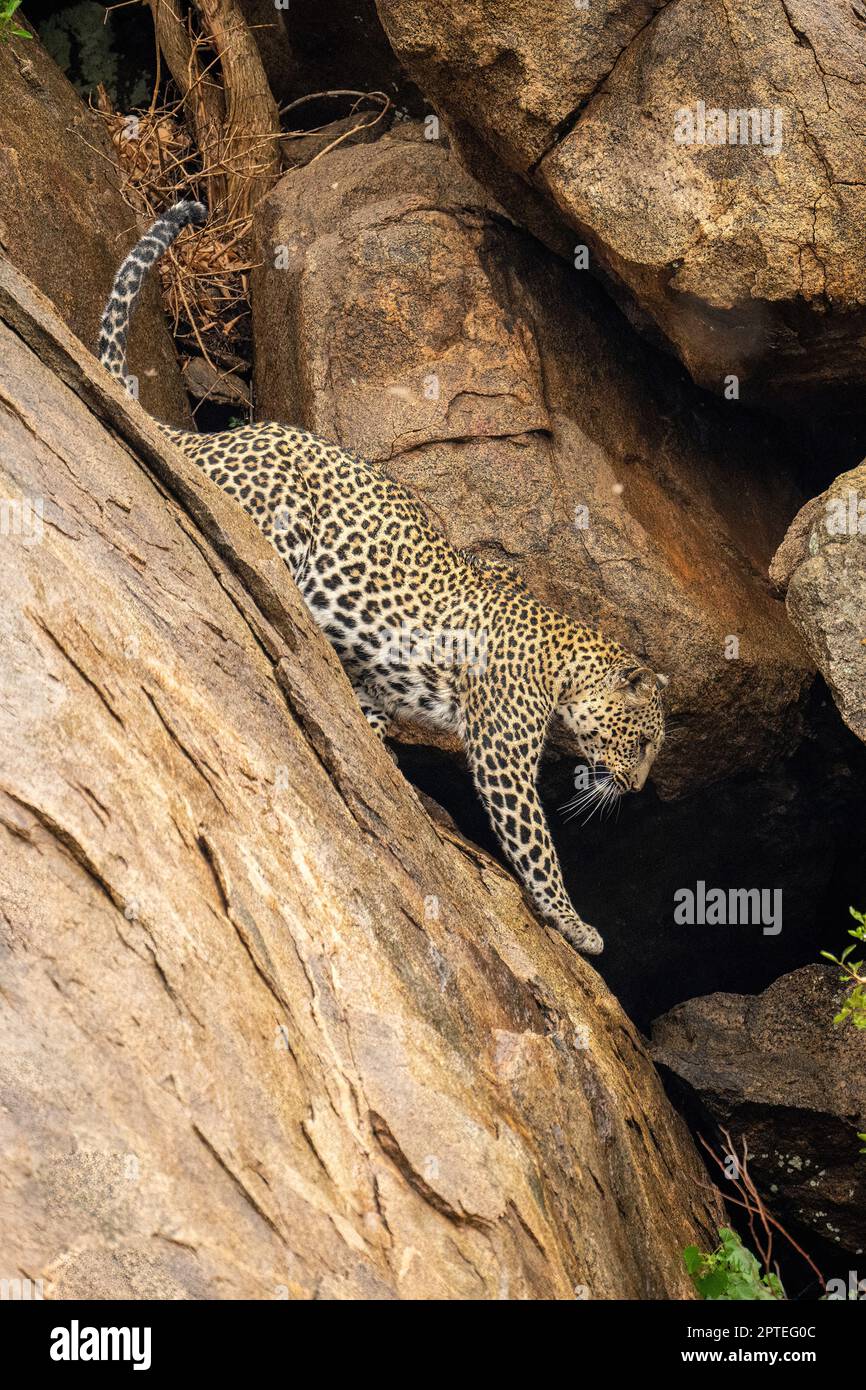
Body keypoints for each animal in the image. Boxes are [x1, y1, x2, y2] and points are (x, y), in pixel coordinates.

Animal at [98, 200, 668, 955]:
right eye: (641, 744)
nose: (633, 790)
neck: (564, 665)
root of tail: (213, 437)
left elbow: (374, 707)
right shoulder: (501, 749)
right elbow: (535, 844)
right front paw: (575, 924)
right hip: (281, 502)